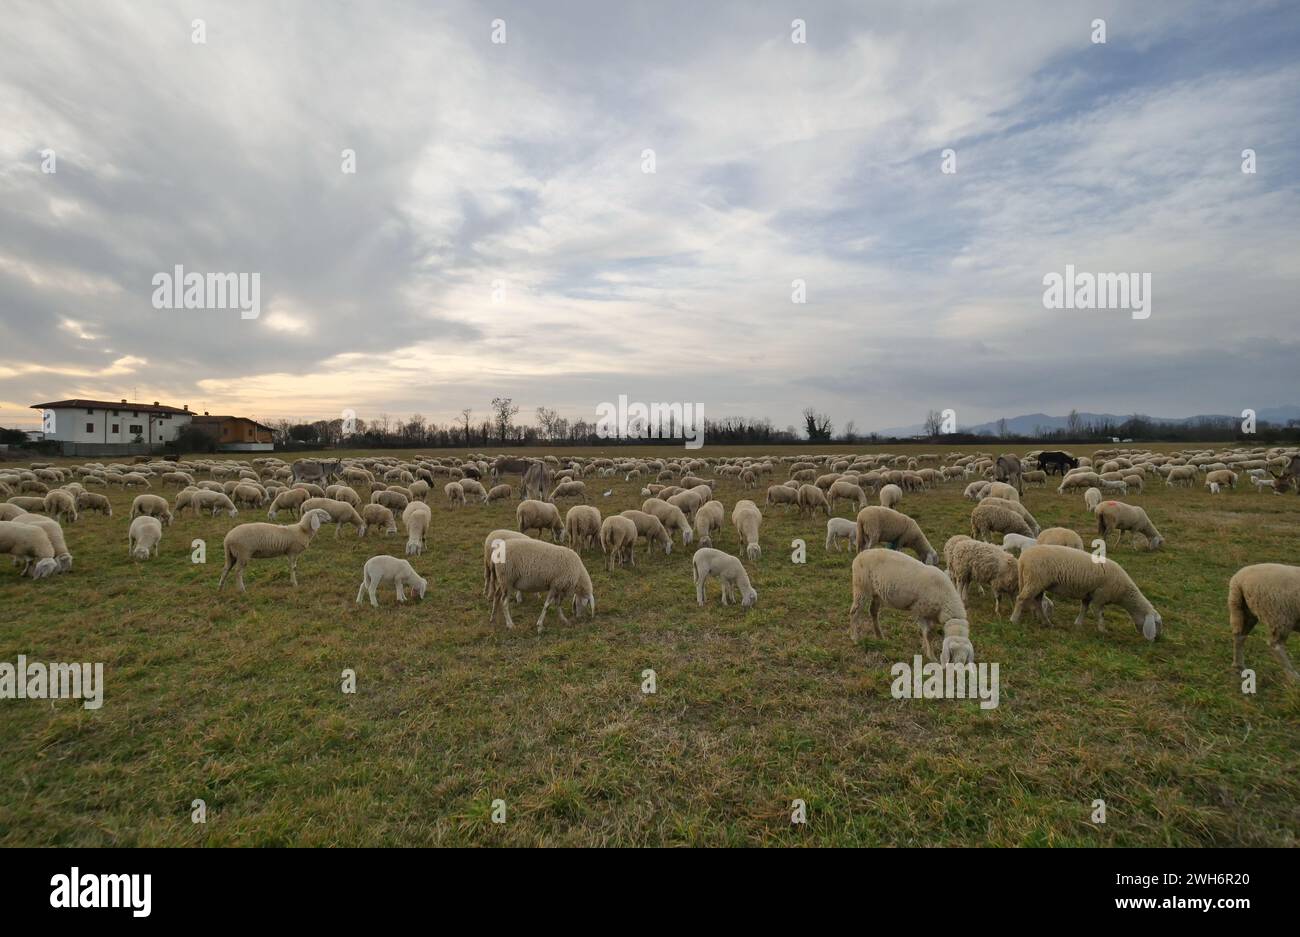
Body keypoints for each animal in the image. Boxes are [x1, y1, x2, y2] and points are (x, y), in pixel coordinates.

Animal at [1011, 545, 1162, 640]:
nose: (1158, 639)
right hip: (1034, 580)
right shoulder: (1100, 596)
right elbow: (1099, 613)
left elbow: (1084, 609)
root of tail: (1023, 558)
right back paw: (1014, 619)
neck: (1124, 592)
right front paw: (1102, 630)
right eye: (1158, 623)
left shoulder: (1088, 594)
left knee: (1037, 602)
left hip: (1038, 583)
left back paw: (1047, 622)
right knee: (1021, 598)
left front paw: (1078, 624)